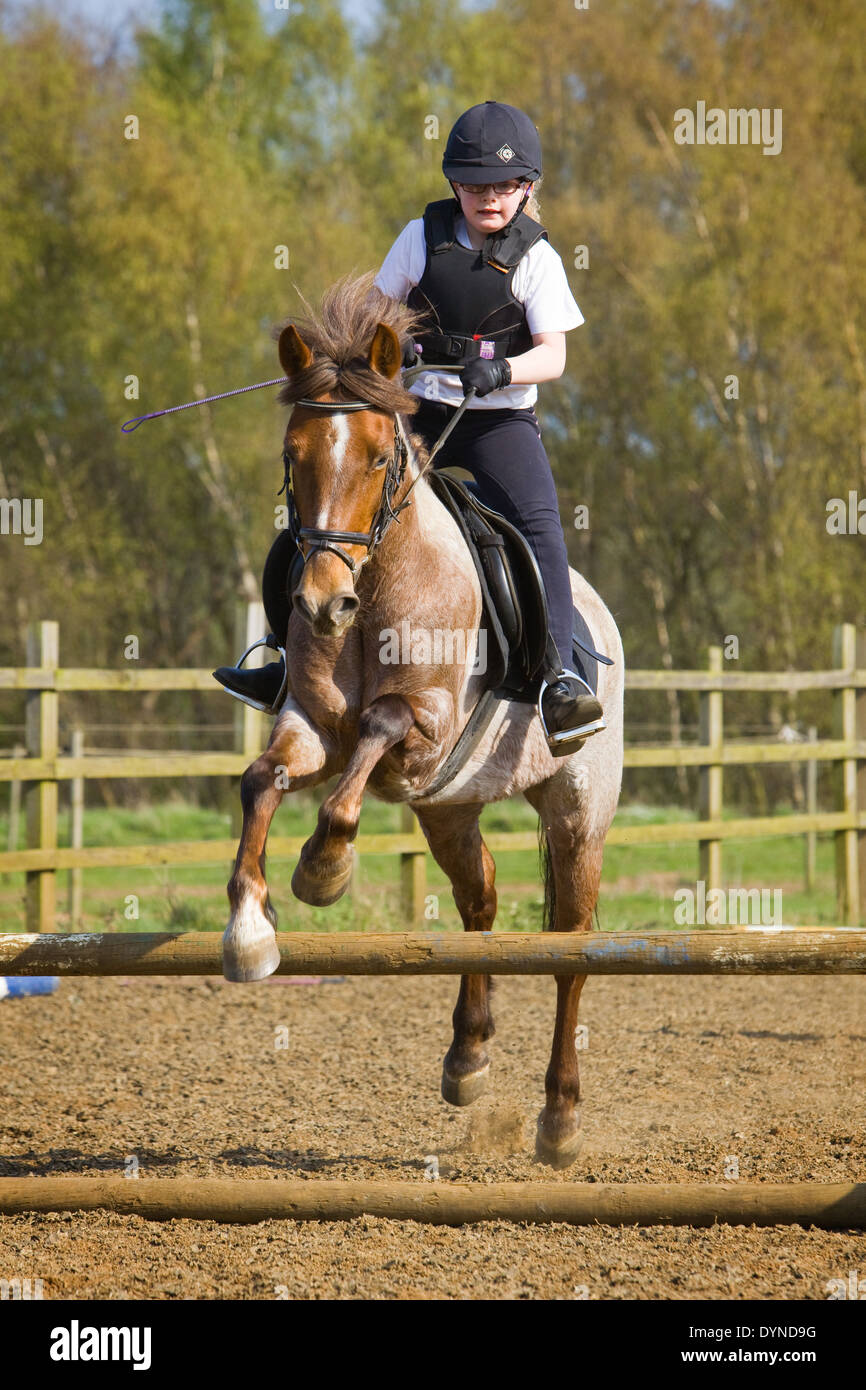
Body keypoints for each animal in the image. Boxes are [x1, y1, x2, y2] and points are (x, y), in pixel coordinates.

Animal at [223, 272, 624, 1169]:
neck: (376, 587)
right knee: (480, 903)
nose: (321, 602)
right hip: (450, 811)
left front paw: (323, 869)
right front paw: (249, 930)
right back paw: (467, 1058)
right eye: (293, 457)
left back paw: (560, 1119)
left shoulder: (425, 734)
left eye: (378, 458)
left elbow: (377, 729)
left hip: (576, 811)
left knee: (570, 949)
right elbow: (263, 778)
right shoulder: (310, 725)